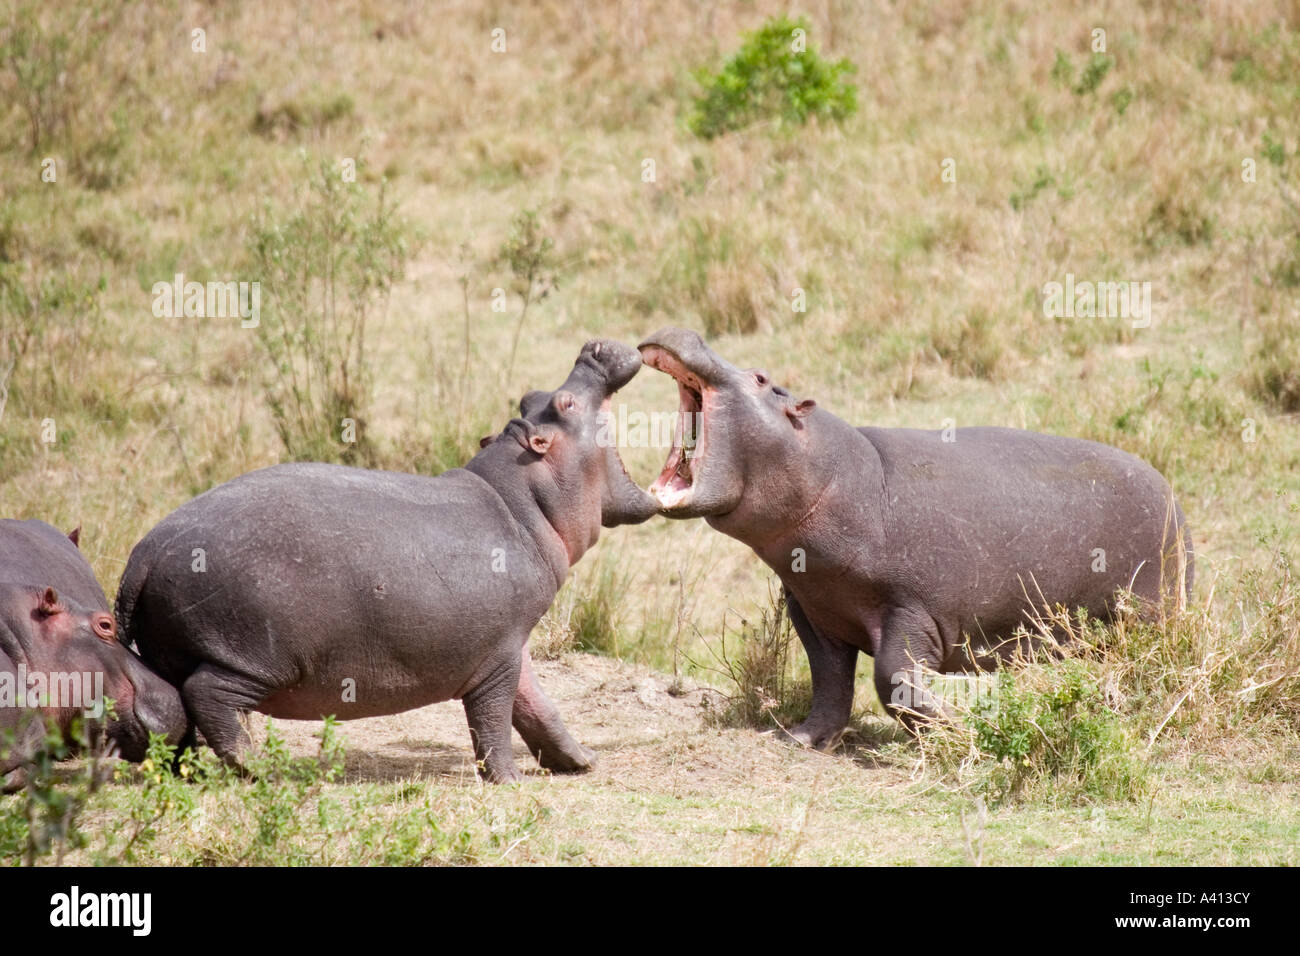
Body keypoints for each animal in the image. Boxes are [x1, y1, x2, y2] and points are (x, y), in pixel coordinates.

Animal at [116, 340, 659, 782]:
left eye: (535, 396)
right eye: (567, 403)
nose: (593, 347)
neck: (523, 500)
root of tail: (144, 551)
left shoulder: (514, 645)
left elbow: (539, 706)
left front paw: (581, 760)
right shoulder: (499, 653)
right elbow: (495, 718)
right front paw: (508, 781)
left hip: (177, 652)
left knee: (181, 707)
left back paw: (191, 772)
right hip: (253, 657)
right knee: (210, 696)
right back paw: (260, 769)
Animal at [638, 328, 1193, 746]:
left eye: (760, 377)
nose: (688, 331)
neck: (837, 473)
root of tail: (1173, 493)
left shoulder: (911, 606)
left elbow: (892, 679)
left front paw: (957, 728)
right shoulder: (813, 608)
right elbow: (829, 679)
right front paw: (804, 738)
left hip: (1151, 614)